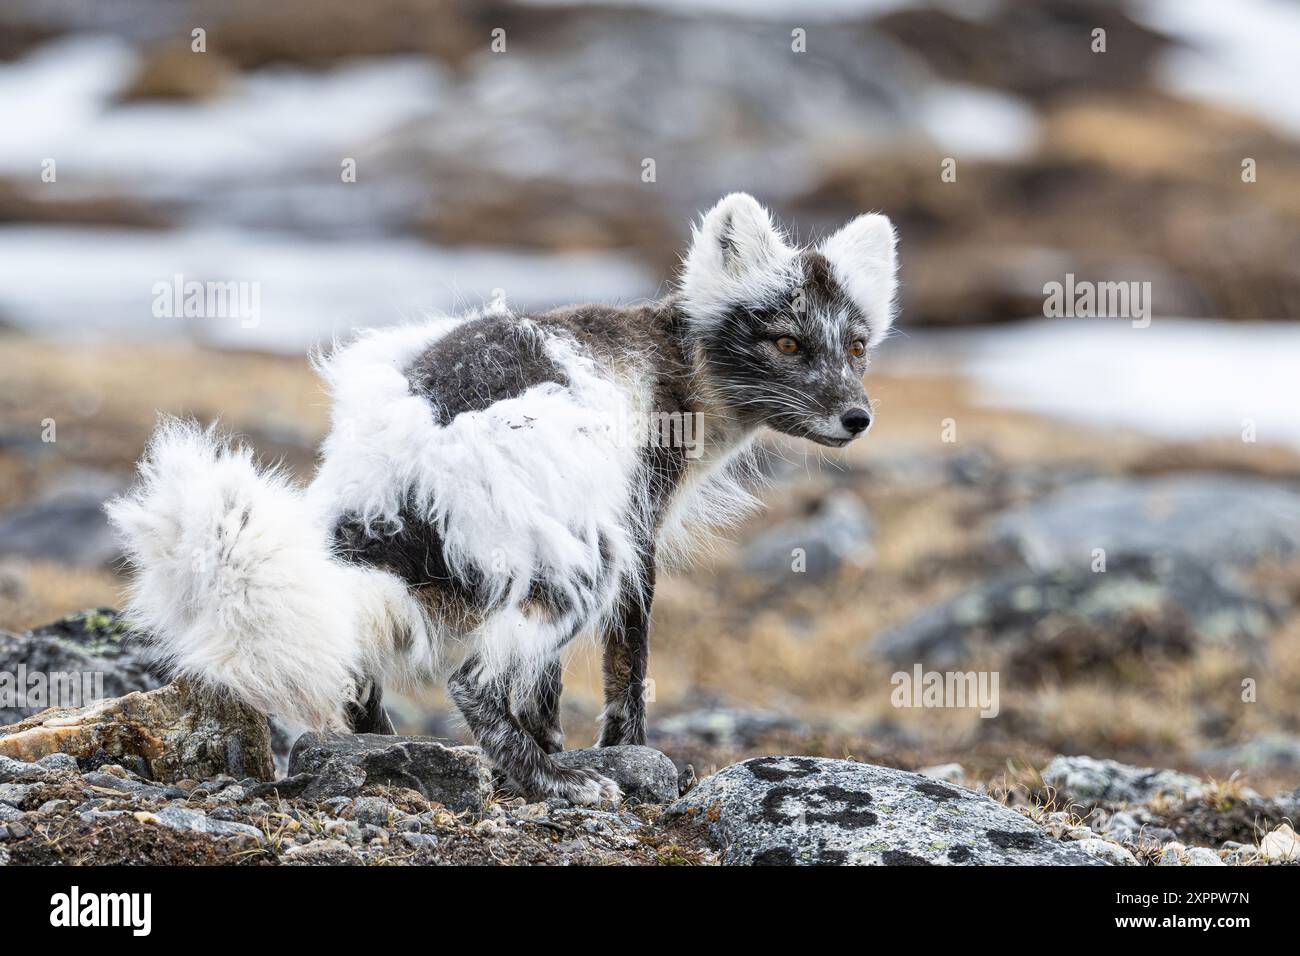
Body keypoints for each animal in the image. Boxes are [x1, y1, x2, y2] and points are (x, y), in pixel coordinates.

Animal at [107, 193, 899, 804]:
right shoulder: (636, 524)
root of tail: (403, 467)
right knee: (471, 682)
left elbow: (545, 688)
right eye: (788, 343)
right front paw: (620, 756)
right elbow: (627, 669)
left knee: (363, 682)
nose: (858, 418)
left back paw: (396, 756)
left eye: (858, 346)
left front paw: (553, 742)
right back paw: (546, 783)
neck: (677, 366)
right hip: (582, 560)